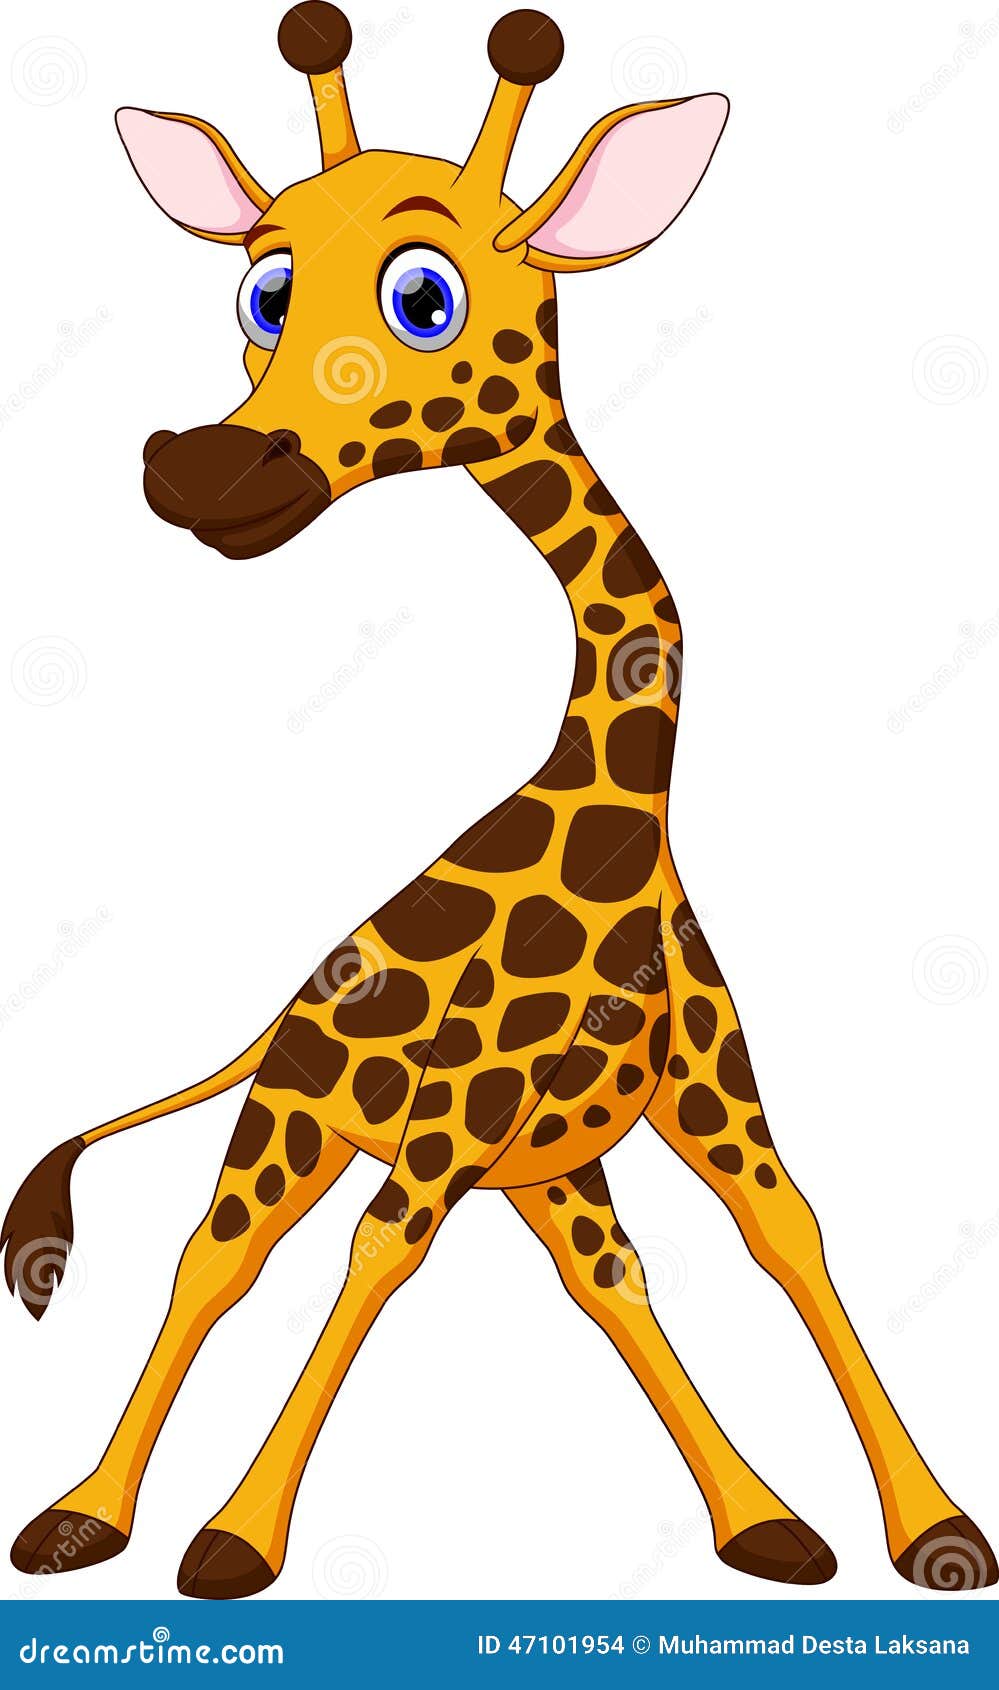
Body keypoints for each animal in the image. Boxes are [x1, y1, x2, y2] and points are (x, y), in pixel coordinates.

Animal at [4, 4, 995, 1602]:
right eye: (263, 290)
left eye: (424, 295)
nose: (208, 470)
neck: (620, 810)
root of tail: (279, 1010)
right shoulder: (453, 1109)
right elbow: (373, 1259)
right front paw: (232, 1542)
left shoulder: (696, 1086)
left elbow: (786, 1234)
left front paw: (935, 1528)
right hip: (305, 1111)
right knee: (217, 1257)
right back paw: (80, 1516)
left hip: (542, 1158)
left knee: (599, 1273)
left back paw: (765, 1523)